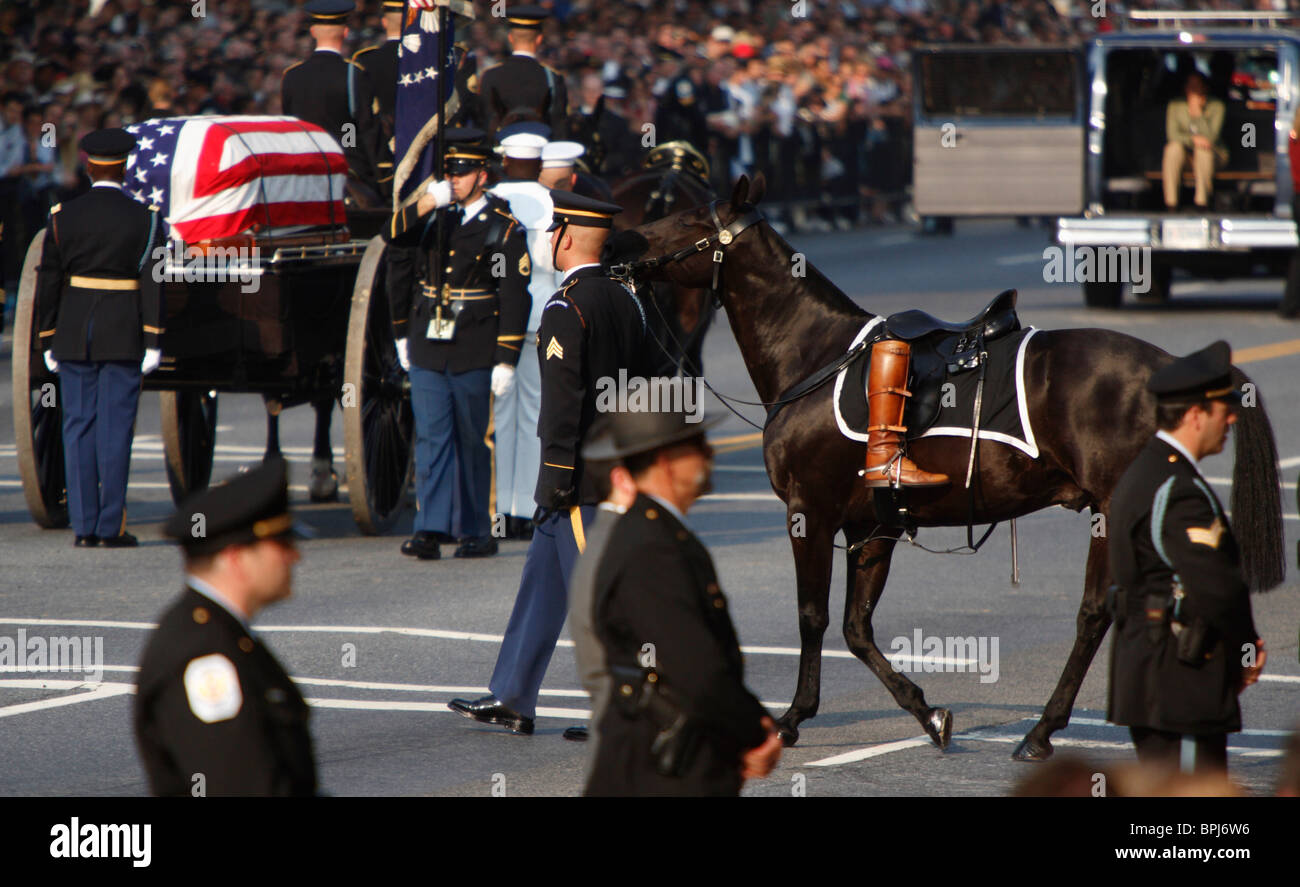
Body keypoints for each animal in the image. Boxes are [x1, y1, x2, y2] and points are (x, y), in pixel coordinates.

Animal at [613, 174, 1284, 759]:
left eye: (690, 219)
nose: (624, 241)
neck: (816, 355)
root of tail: (1172, 365)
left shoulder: (812, 513)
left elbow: (812, 617)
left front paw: (792, 719)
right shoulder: (873, 526)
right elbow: (856, 628)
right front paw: (926, 711)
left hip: (1115, 510)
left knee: (1098, 613)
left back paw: (1043, 730)